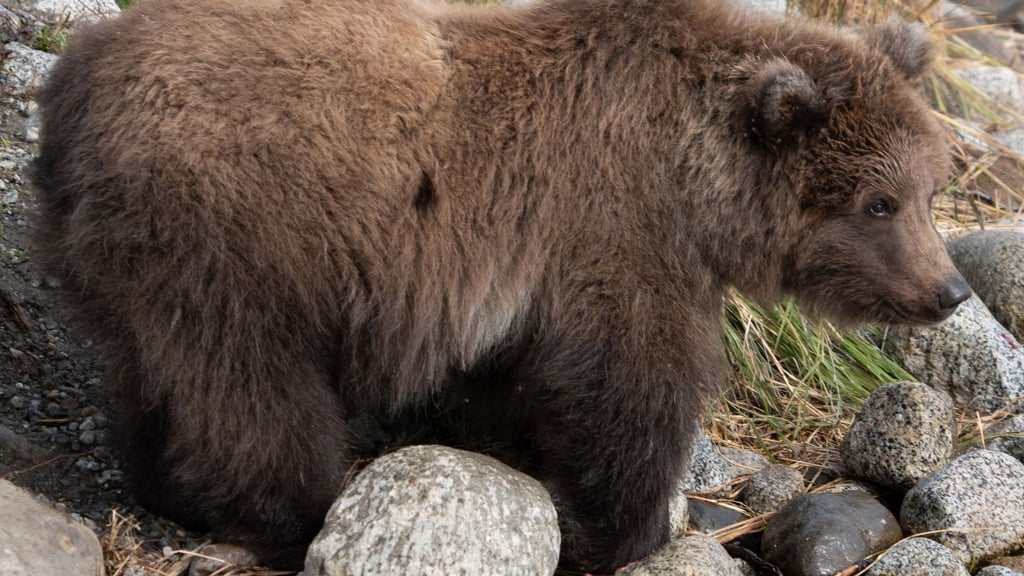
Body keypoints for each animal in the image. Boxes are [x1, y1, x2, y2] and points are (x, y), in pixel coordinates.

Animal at [34, 0, 971, 572]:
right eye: (878, 202)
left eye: (930, 188)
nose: (951, 289)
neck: (694, 176)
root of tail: (73, 82)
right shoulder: (613, 228)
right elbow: (628, 382)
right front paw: (629, 526)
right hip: (238, 228)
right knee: (244, 384)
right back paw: (285, 509)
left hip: (137, 253)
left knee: (157, 368)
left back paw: (162, 480)